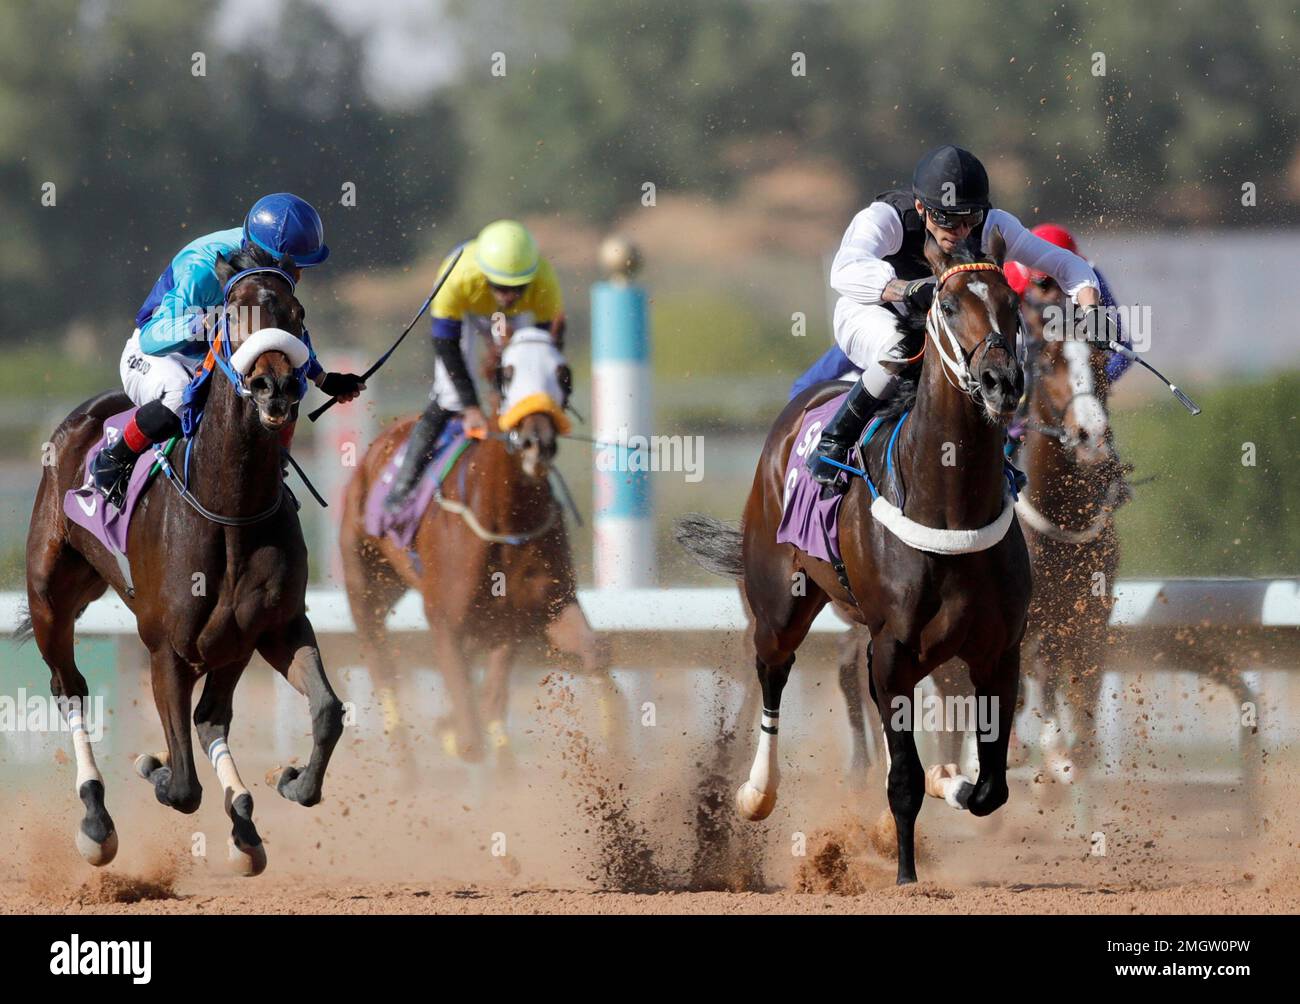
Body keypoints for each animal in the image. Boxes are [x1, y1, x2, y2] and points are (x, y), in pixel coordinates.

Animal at [19, 252, 345, 875]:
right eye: (231, 312)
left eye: (297, 314)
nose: (275, 385)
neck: (230, 510)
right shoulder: (166, 648)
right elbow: (183, 786)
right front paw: (154, 765)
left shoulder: (273, 628)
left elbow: (327, 709)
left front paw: (292, 780)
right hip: (51, 595)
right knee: (69, 688)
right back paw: (96, 821)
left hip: (223, 646)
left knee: (210, 718)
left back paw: (244, 826)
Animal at [339, 325, 615, 765]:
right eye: (506, 373)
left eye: (564, 373)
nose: (537, 441)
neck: (506, 515)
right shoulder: (446, 620)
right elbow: (472, 737)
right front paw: (456, 733)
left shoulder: (533, 612)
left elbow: (592, 657)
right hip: (366, 584)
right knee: (381, 665)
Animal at [677, 232, 1031, 884]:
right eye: (947, 306)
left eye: (1013, 307)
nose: (1001, 382)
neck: (951, 505)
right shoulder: (891, 650)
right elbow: (905, 781)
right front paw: (907, 876)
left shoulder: (998, 651)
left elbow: (989, 788)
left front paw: (950, 779)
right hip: (780, 603)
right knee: (771, 672)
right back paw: (755, 793)